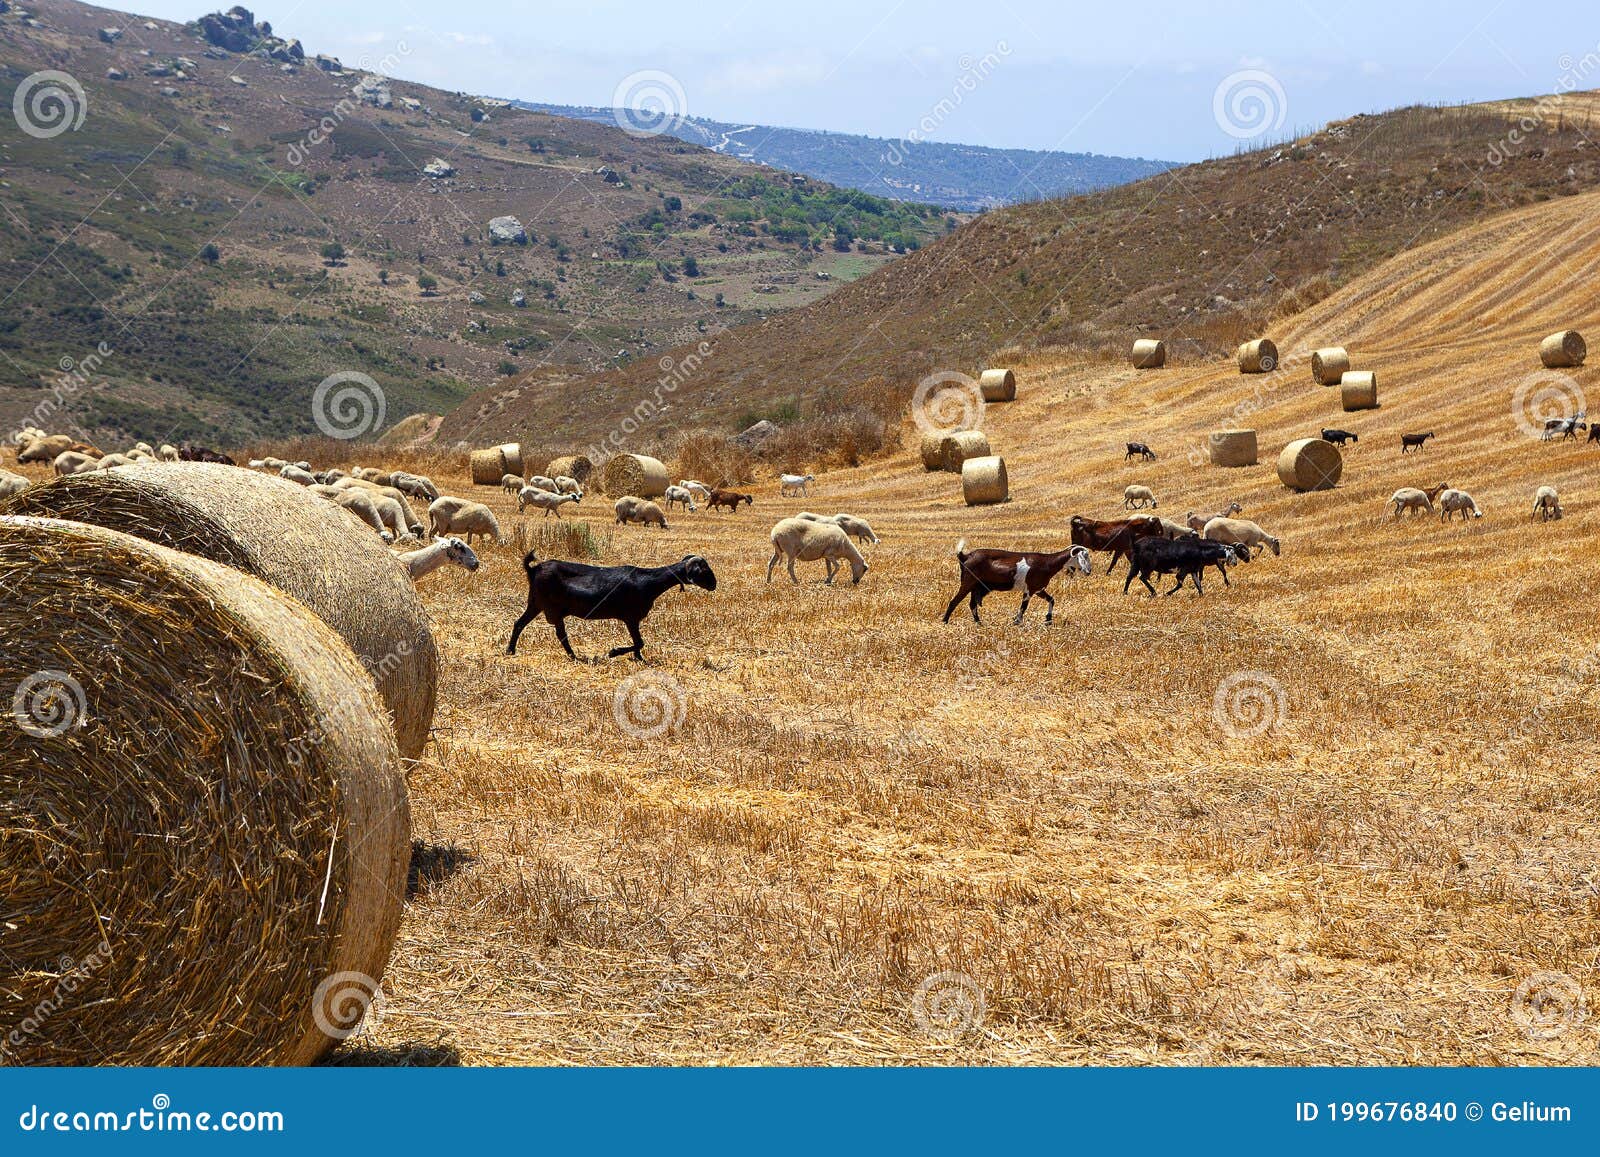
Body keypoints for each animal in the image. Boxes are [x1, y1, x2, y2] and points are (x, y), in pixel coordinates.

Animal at [507, 553, 717, 660]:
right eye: (704, 570)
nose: (714, 584)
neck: (650, 581)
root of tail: (533, 569)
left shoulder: (633, 620)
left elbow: (638, 643)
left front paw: (639, 659)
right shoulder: (631, 618)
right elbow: (639, 642)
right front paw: (614, 652)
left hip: (535, 604)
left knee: (519, 624)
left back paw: (511, 650)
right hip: (552, 608)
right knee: (560, 634)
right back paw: (574, 656)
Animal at [942, 540, 1093, 626]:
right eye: (1084, 556)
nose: (1088, 571)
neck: (1047, 563)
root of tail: (965, 556)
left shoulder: (1038, 589)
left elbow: (1051, 599)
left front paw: (1048, 619)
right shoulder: (1030, 590)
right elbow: (1024, 607)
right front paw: (1017, 622)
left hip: (977, 586)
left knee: (972, 604)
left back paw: (979, 623)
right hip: (968, 582)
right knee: (954, 601)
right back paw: (945, 621)